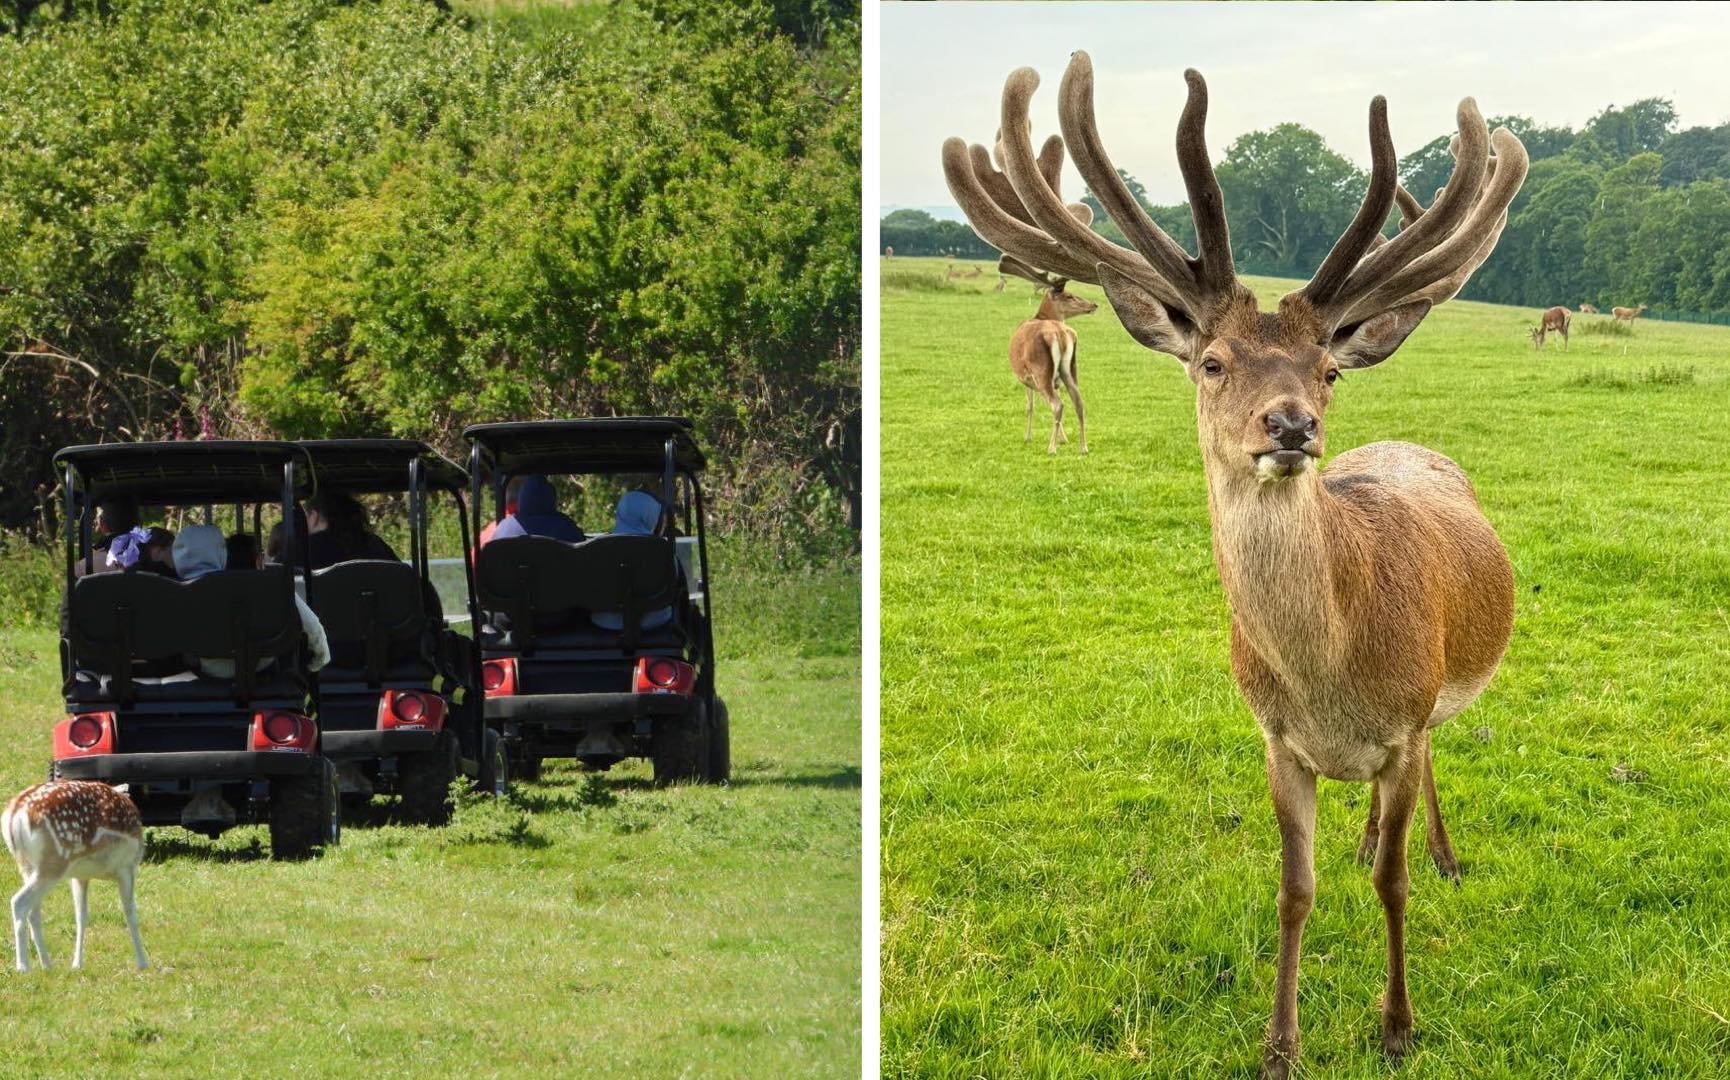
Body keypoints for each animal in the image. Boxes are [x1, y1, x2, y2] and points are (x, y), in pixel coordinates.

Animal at [5, 781, 149, 972]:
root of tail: (14, 814)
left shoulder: (79, 876)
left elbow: (81, 916)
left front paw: (77, 964)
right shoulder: (127, 866)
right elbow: (130, 912)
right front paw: (143, 963)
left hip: (27, 866)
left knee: (34, 911)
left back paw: (47, 964)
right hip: (52, 864)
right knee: (19, 902)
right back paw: (23, 967)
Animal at [1000, 253, 1098, 454]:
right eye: (1069, 295)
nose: (1093, 304)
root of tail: (1059, 333)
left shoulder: (1026, 378)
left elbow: (1030, 406)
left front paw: (1028, 437)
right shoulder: (1056, 381)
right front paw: (1064, 439)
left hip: (1041, 370)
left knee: (1057, 404)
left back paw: (1051, 448)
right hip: (1070, 369)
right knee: (1079, 402)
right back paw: (1083, 447)